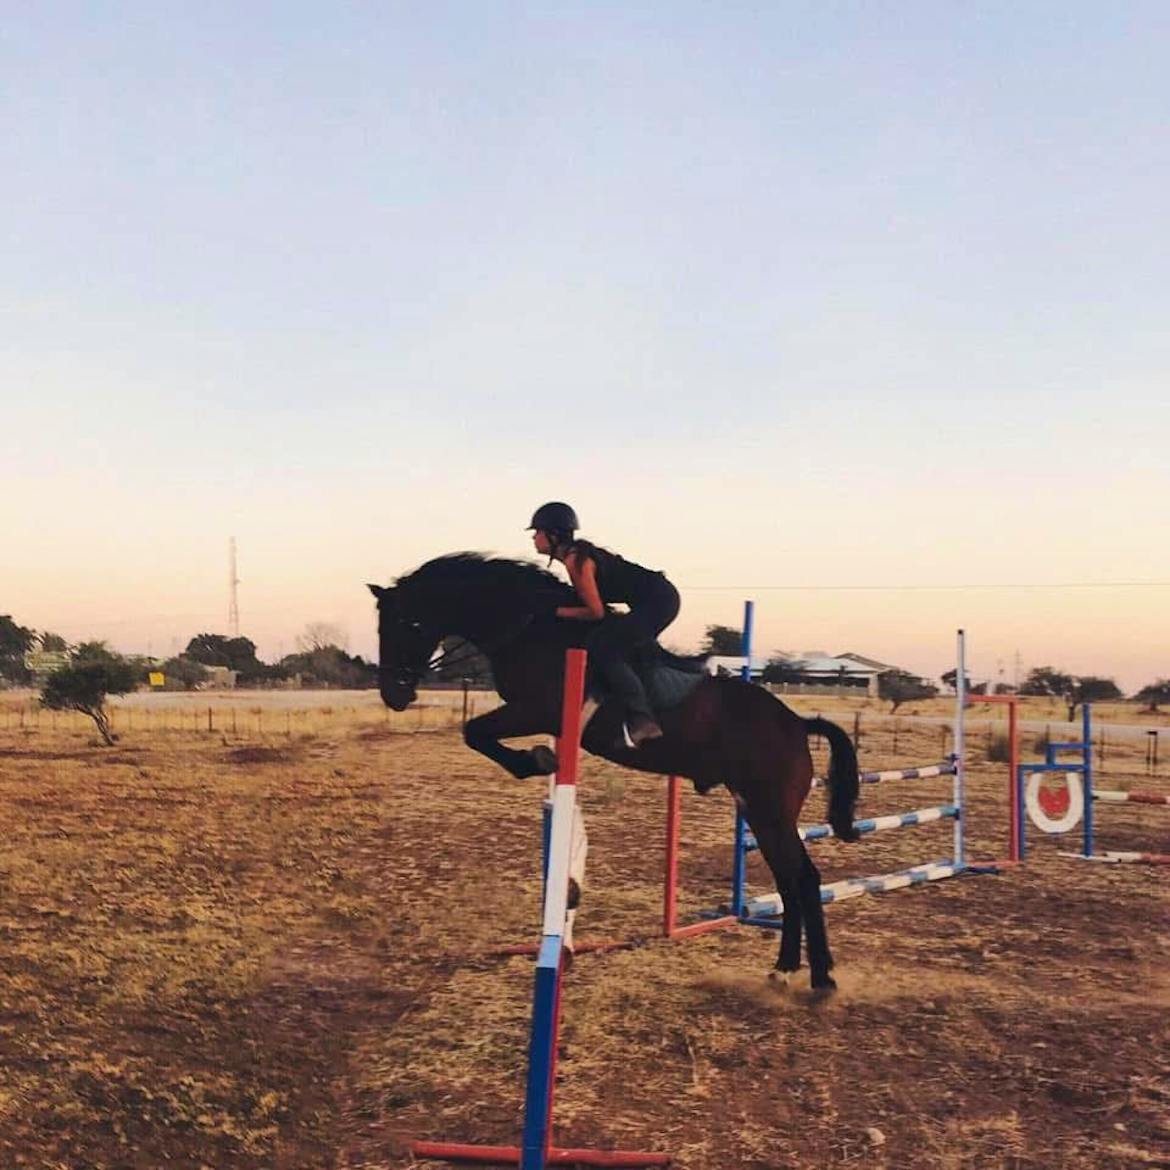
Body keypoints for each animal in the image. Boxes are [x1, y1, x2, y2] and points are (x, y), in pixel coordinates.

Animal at [369, 553, 861, 990]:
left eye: (407, 624)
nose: (394, 694)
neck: (531, 628)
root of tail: (796, 723)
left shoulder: (537, 709)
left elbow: (474, 732)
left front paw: (535, 760)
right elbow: (476, 734)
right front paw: (537, 760)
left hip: (769, 809)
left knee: (803, 879)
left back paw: (819, 979)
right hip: (758, 809)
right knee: (790, 881)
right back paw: (786, 972)